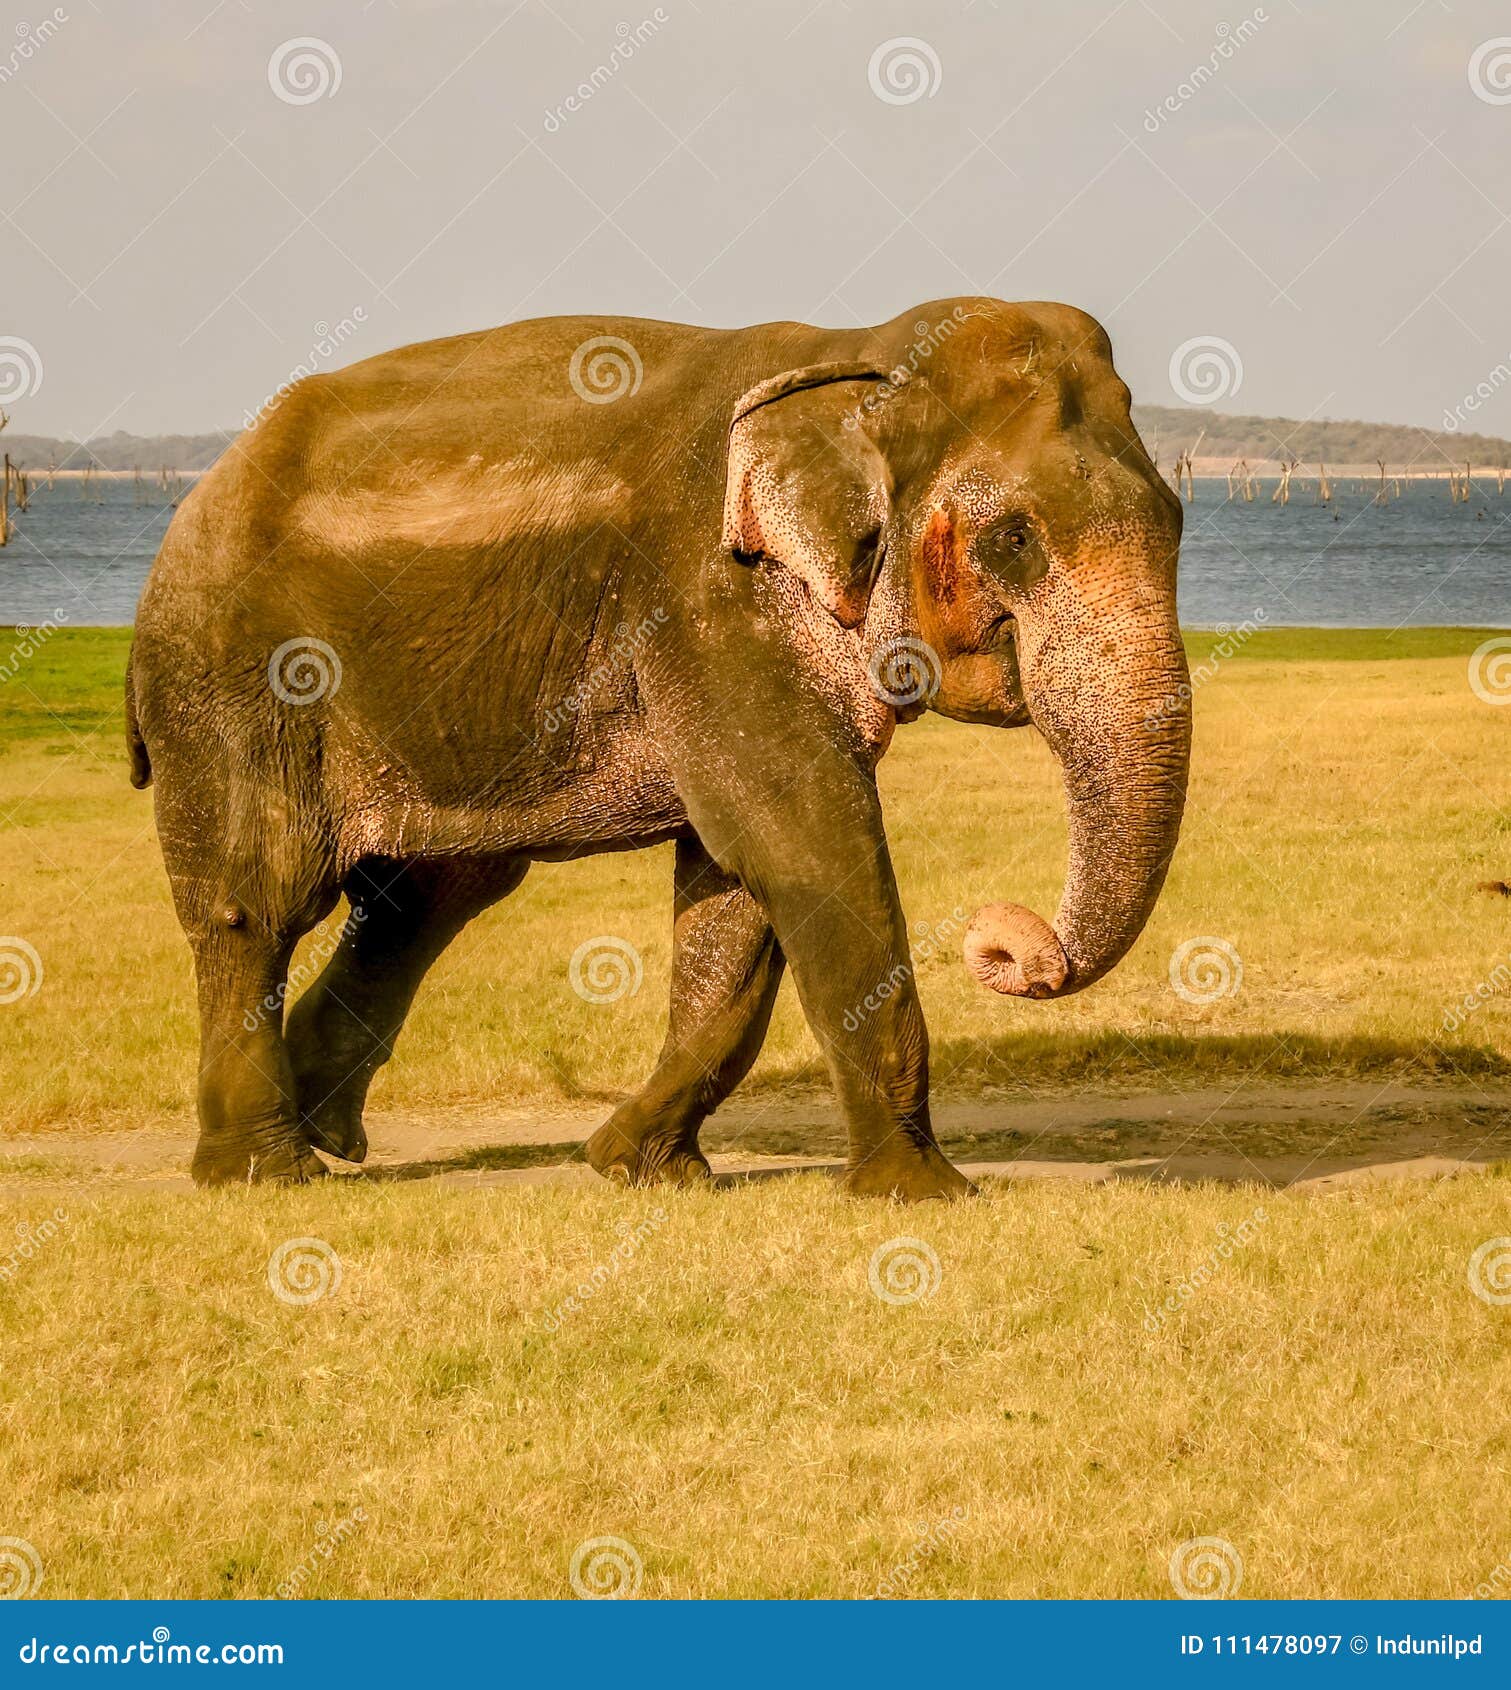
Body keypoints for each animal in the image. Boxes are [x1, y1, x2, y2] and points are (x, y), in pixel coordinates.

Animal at [126, 295, 1190, 1200]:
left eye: (1181, 521)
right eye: (1014, 539)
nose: (1007, 943)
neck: (856, 351)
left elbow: (737, 883)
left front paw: (641, 1169)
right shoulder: (706, 599)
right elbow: (800, 829)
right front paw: (923, 1194)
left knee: (427, 900)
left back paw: (326, 1137)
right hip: (231, 684)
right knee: (260, 899)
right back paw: (264, 1173)